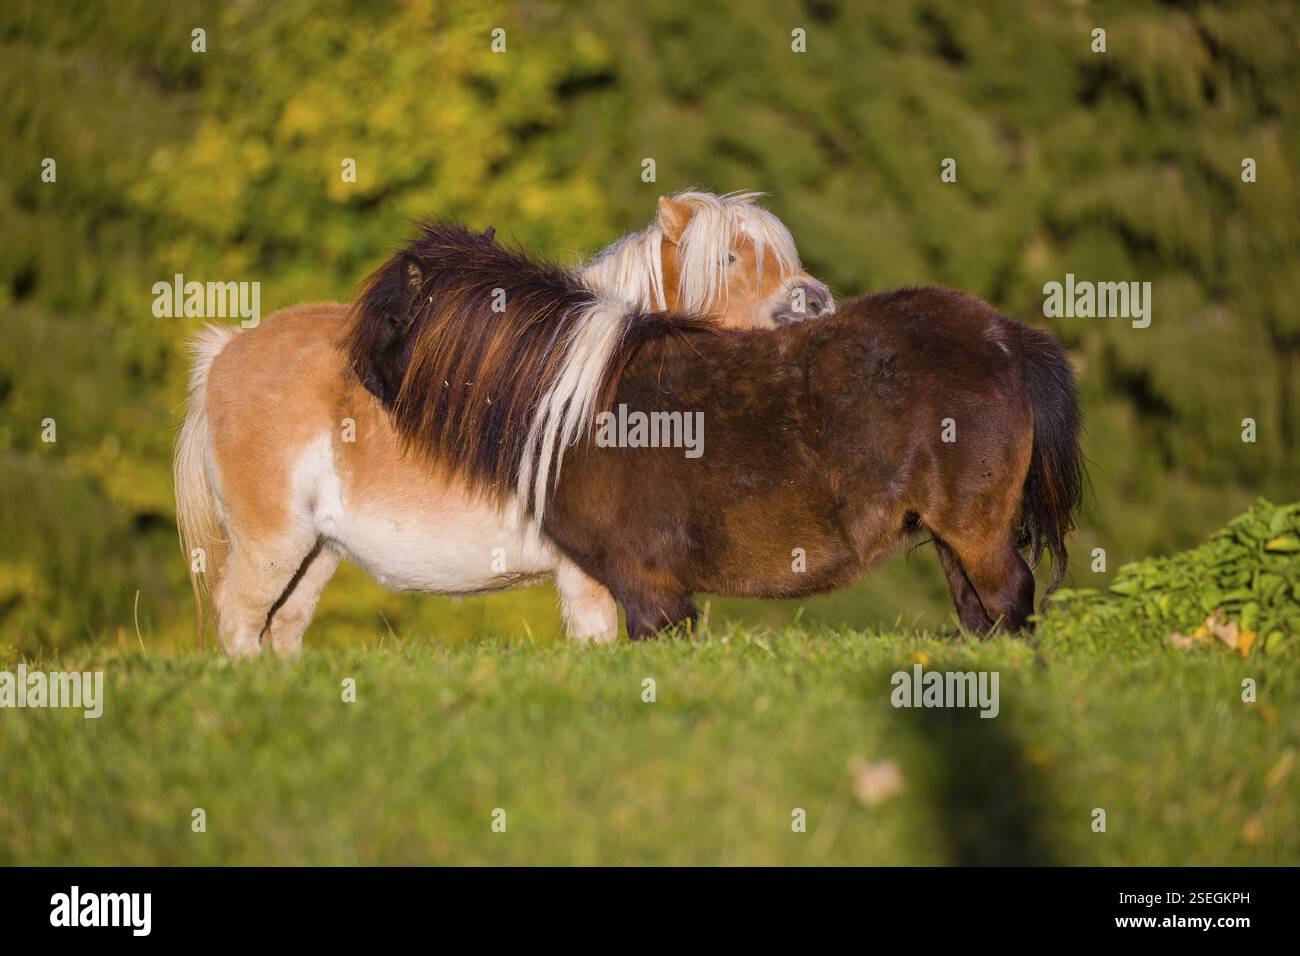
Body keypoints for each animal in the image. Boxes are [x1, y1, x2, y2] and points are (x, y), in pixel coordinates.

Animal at [175, 191, 834, 656]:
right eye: (727, 257)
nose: (818, 303)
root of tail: (225, 352)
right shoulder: (588, 577)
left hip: (317, 551)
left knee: (282, 627)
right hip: (273, 541)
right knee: (240, 618)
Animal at [355, 227, 1085, 639]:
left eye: (389, 317)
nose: (357, 371)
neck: (576, 398)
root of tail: (1001, 334)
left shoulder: (646, 587)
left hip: (975, 529)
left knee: (1009, 598)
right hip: (951, 536)